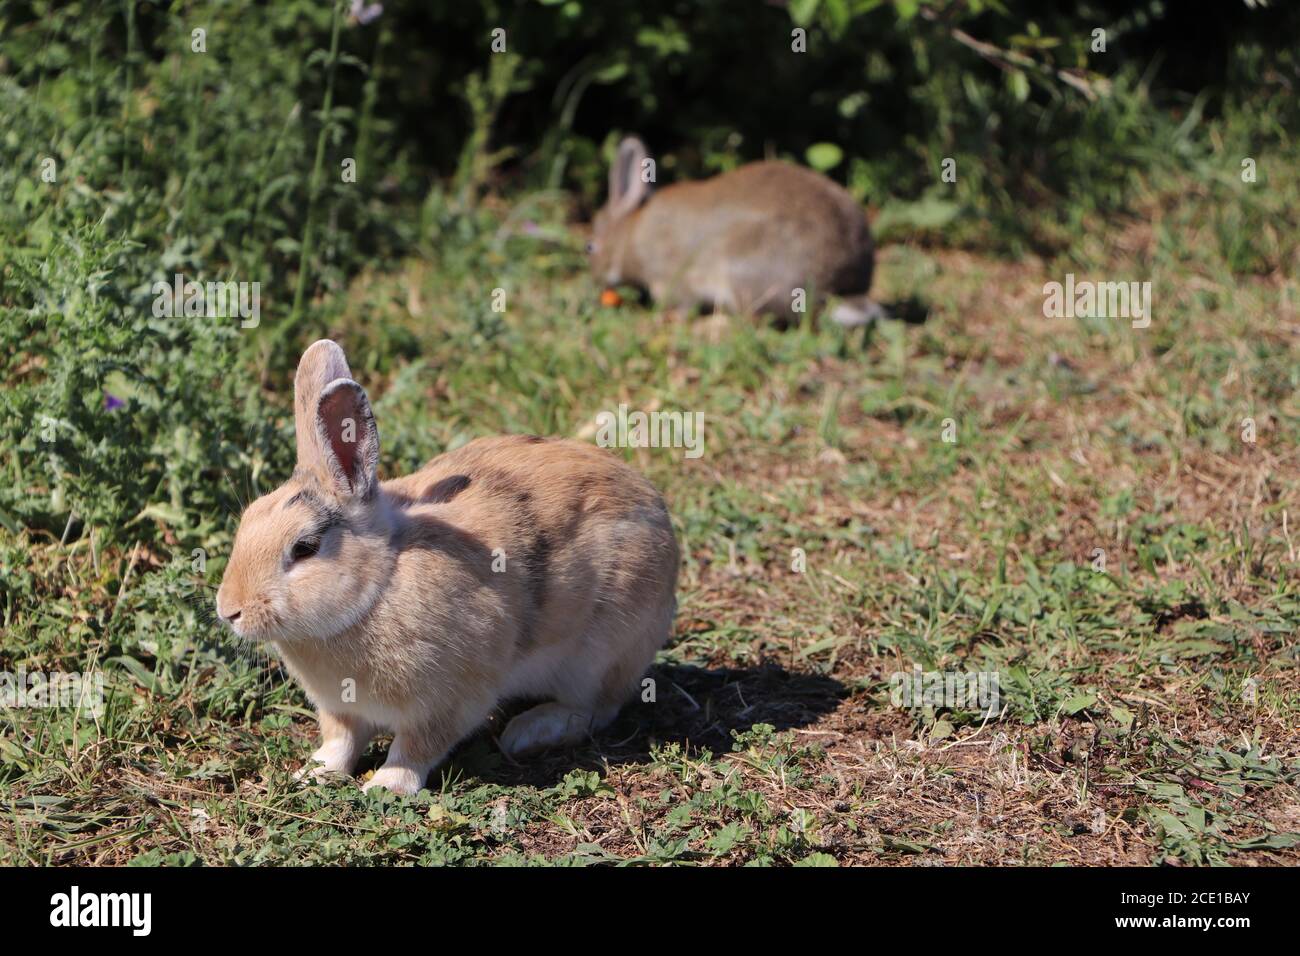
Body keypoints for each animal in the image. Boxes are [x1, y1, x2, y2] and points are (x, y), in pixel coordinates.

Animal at [215, 339, 679, 795]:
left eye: (305, 547)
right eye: (247, 519)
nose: (228, 610)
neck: (379, 586)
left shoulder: (449, 701)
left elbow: (415, 747)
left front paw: (386, 786)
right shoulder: (340, 709)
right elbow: (340, 742)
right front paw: (314, 774)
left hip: (599, 656)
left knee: (597, 708)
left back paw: (529, 731)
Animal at [588, 136, 885, 327]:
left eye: (589, 247)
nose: (596, 282)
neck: (630, 235)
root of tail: (837, 286)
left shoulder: (670, 276)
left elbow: (683, 304)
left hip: (742, 272)